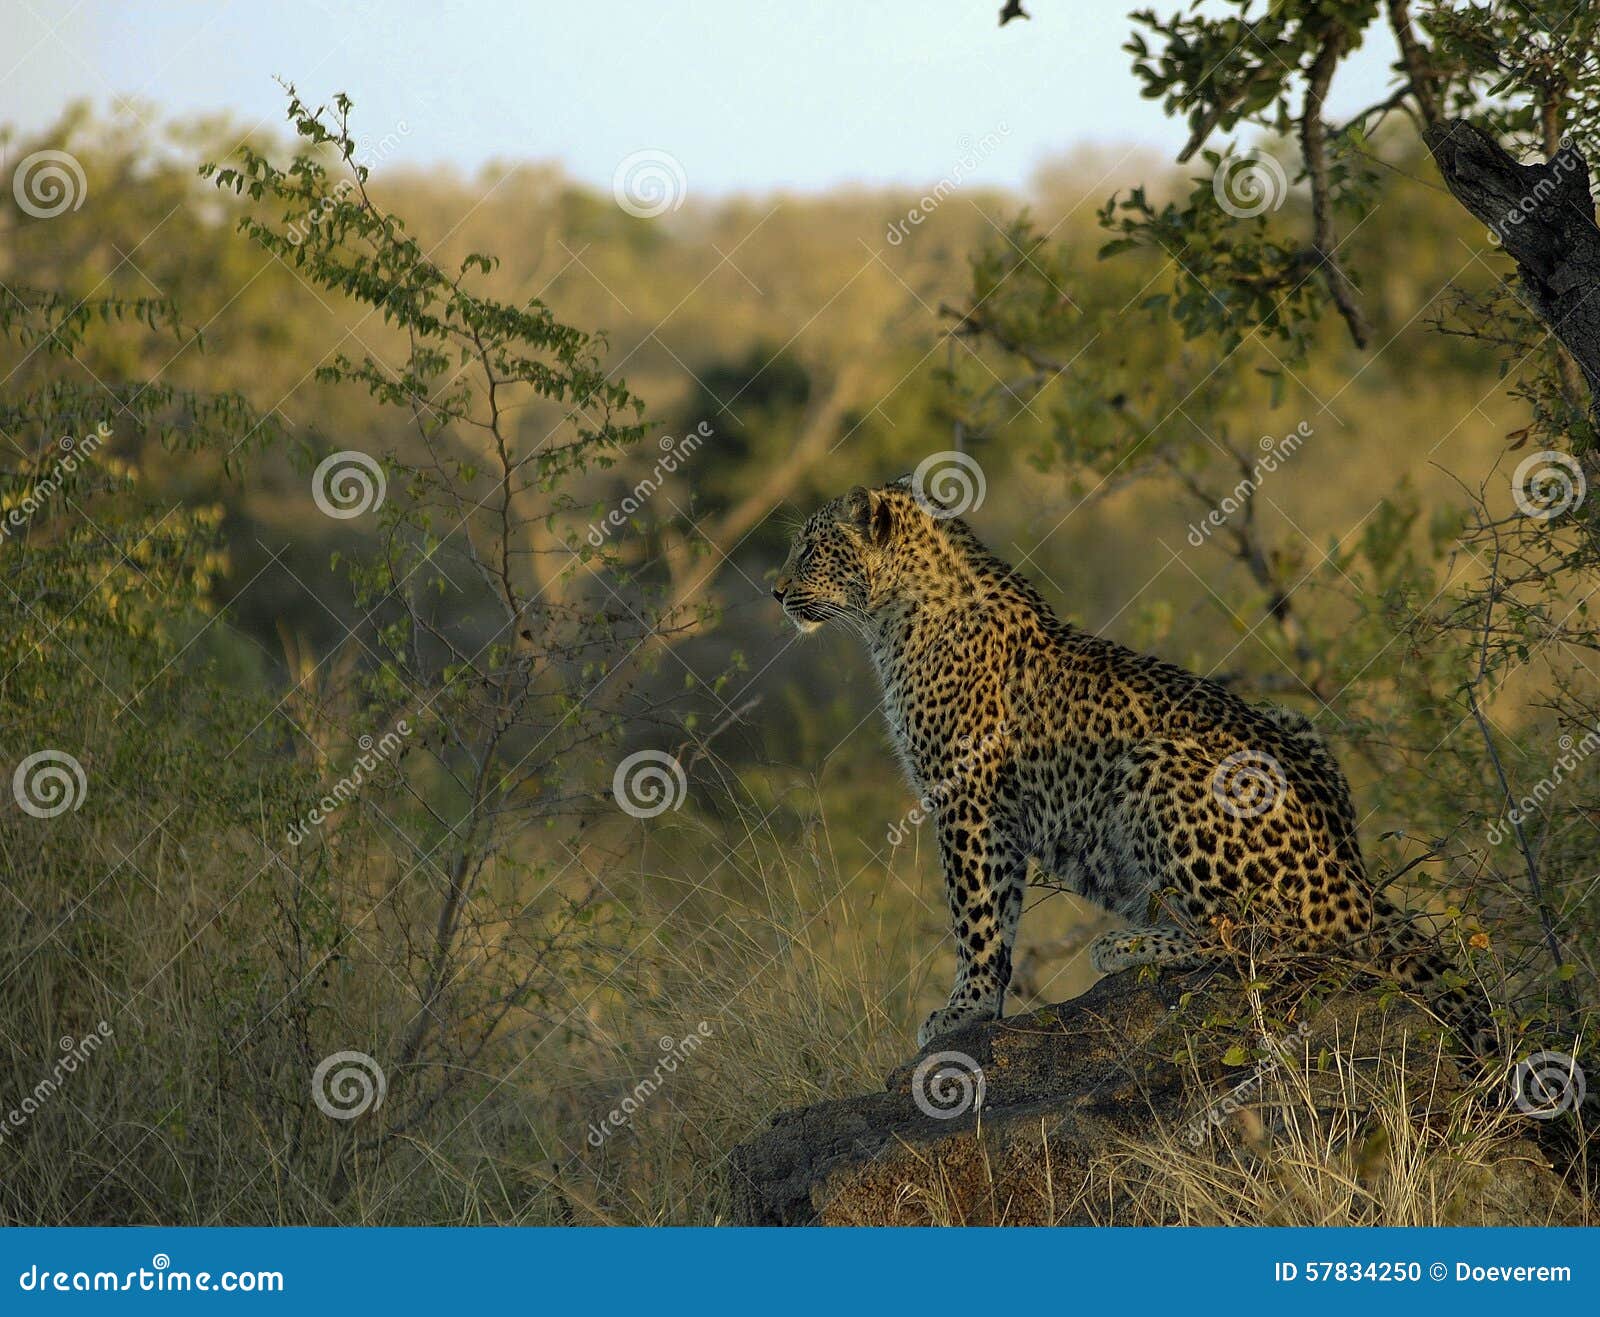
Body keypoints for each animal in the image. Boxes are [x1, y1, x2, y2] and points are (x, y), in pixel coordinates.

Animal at [773, 476, 1485, 1051]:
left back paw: (1126, 945)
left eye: (809, 549)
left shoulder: (966, 797)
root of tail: (1356, 883)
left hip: (1155, 767)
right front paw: (978, 1005)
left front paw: (965, 1010)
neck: (891, 616)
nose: (775, 592)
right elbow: (999, 912)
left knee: (1262, 940)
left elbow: (976, 912)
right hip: (1293, 722)